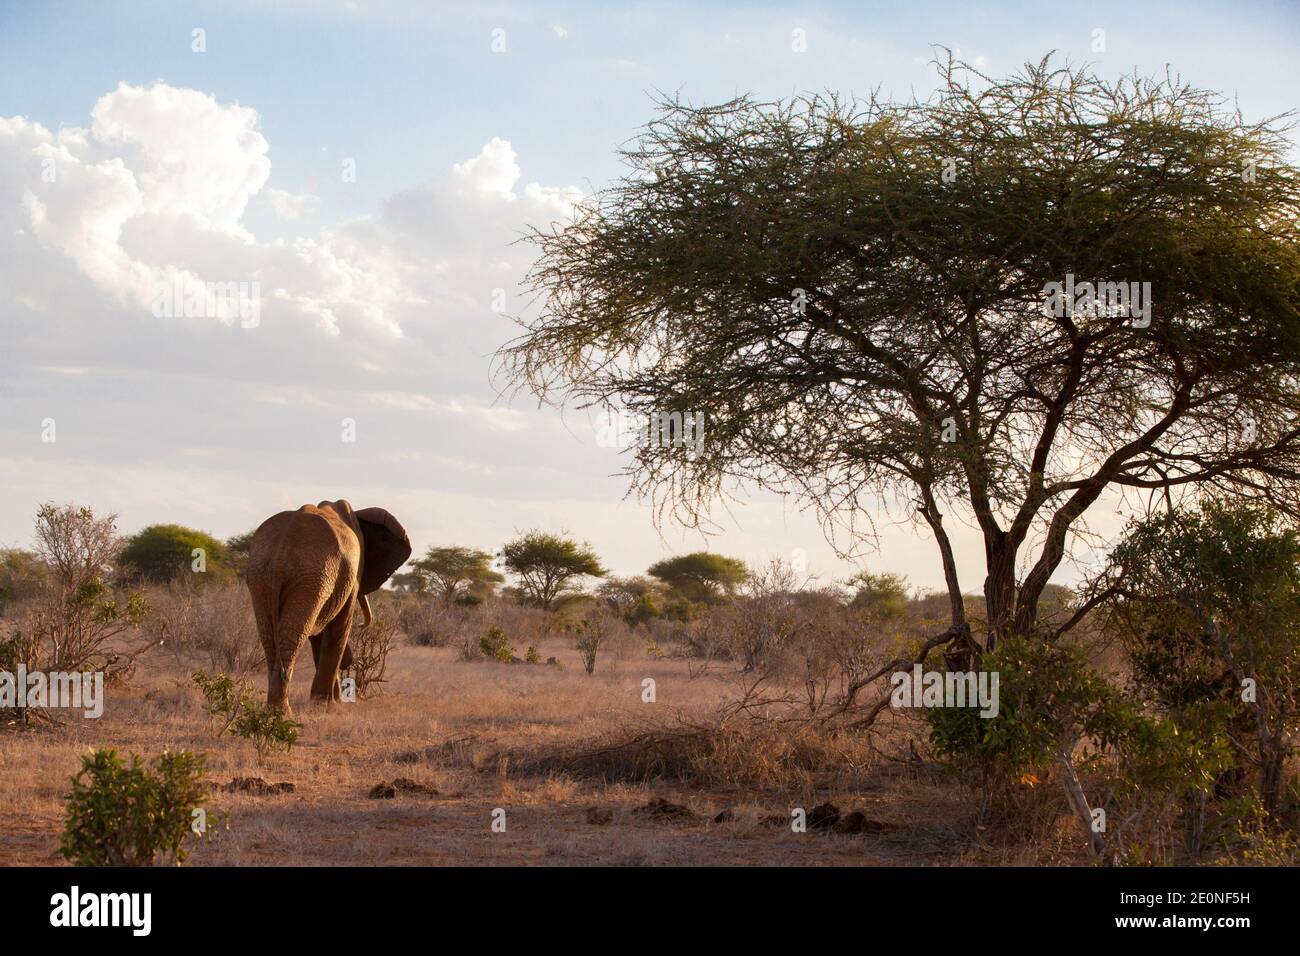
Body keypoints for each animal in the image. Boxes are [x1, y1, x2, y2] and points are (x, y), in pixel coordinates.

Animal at [245, 499, 411, 711]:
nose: (362, 625)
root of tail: (282, 547)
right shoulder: (351, 576)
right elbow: (339, 627)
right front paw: (328, 705)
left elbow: (319, 633)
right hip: (312, 576)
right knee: (294, 635)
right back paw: (284, 712)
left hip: (264, 575)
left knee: (271, 637)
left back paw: (273, 711)